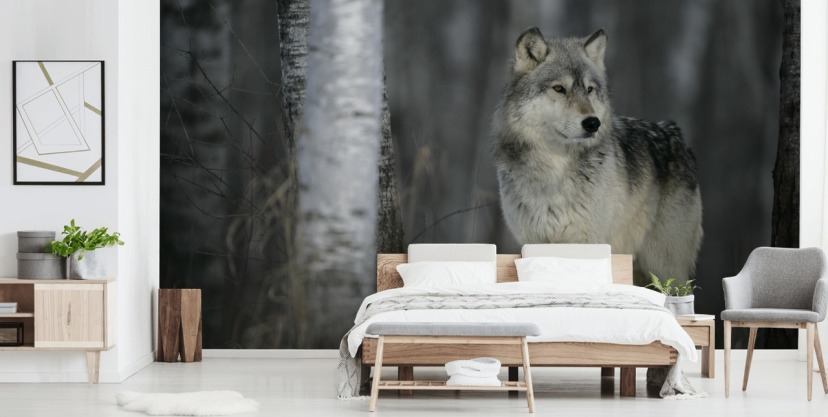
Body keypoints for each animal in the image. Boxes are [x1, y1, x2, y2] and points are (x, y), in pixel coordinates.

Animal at [492, 28, 703, 286]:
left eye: (589, 90)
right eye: (559, 89)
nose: (593, 123)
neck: (554, 172)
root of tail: (676, 134)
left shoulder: (587, 241)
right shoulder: (533, 242)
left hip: (663, 267)